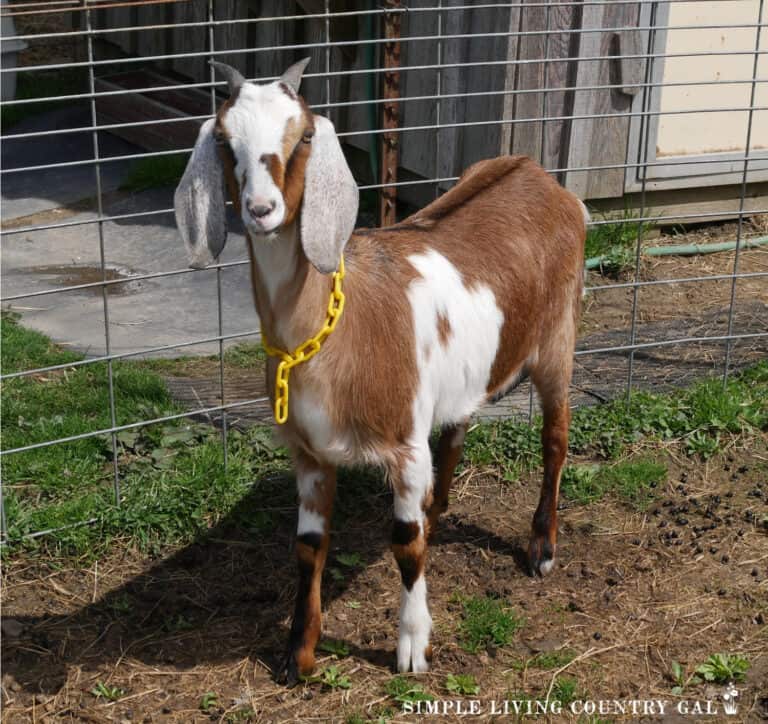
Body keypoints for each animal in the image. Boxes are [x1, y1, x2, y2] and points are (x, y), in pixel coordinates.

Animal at [174, 59, 587, 685]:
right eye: (224, 140)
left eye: (305, 136)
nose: (261, 210)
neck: (332, 332)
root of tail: (539, 173)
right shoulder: (309, 454)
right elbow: (308, 546)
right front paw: (298, 652)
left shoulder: (403, 446)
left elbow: (405, 544)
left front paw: (413, 645)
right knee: (456, 435)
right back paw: (439, 510)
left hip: (557, 340)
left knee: (555, 439)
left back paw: (541, 547)